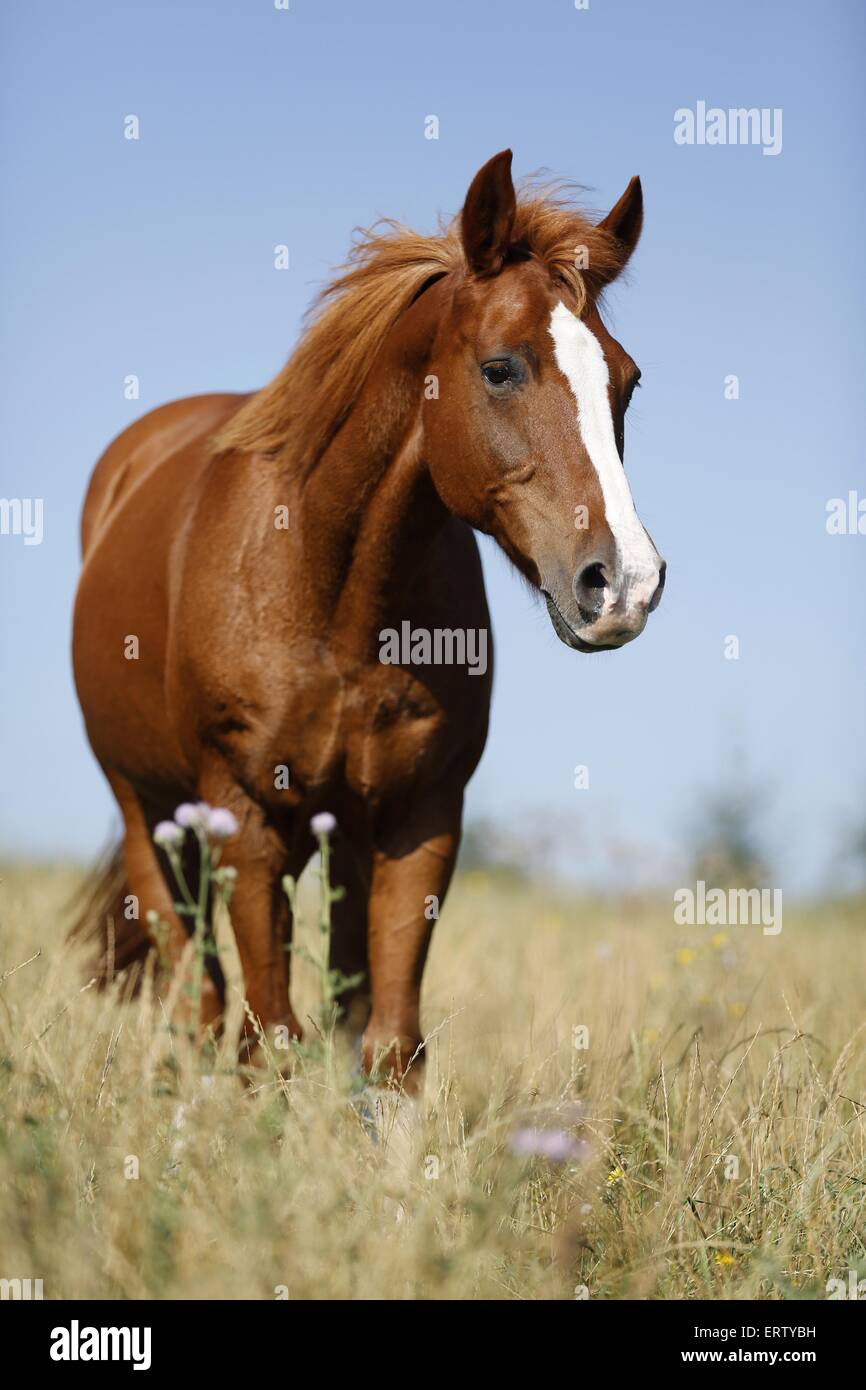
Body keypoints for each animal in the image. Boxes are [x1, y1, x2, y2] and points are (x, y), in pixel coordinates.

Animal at [72, 150, 665, 1087]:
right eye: (500, 368)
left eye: (628, 381)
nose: (625, 585)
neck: (331, 596)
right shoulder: (245, 815)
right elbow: (267, 1038)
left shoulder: (418, 817)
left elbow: (388, 1045)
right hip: (154, 818)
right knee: (199, 1003)